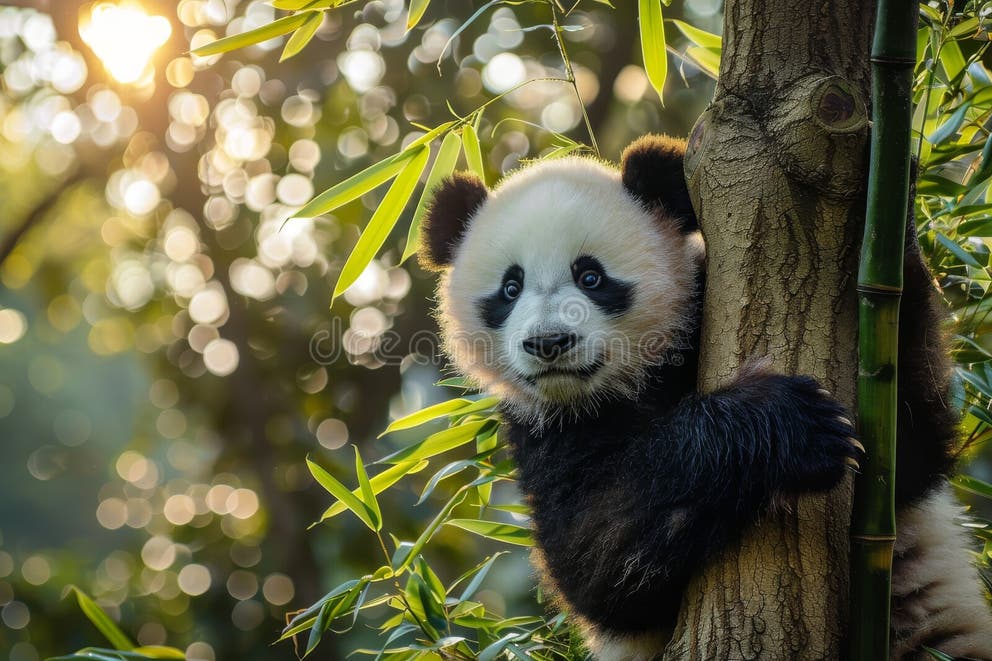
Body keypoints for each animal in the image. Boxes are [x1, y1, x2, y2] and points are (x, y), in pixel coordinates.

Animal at [417, 134, 992, 660]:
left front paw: (887, 188)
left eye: (591, 276)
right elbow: (600, 562)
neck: (628, 386)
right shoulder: (545, 434)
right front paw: (791, 424)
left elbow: (911, 452)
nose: (550, 343)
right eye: (510, 288)